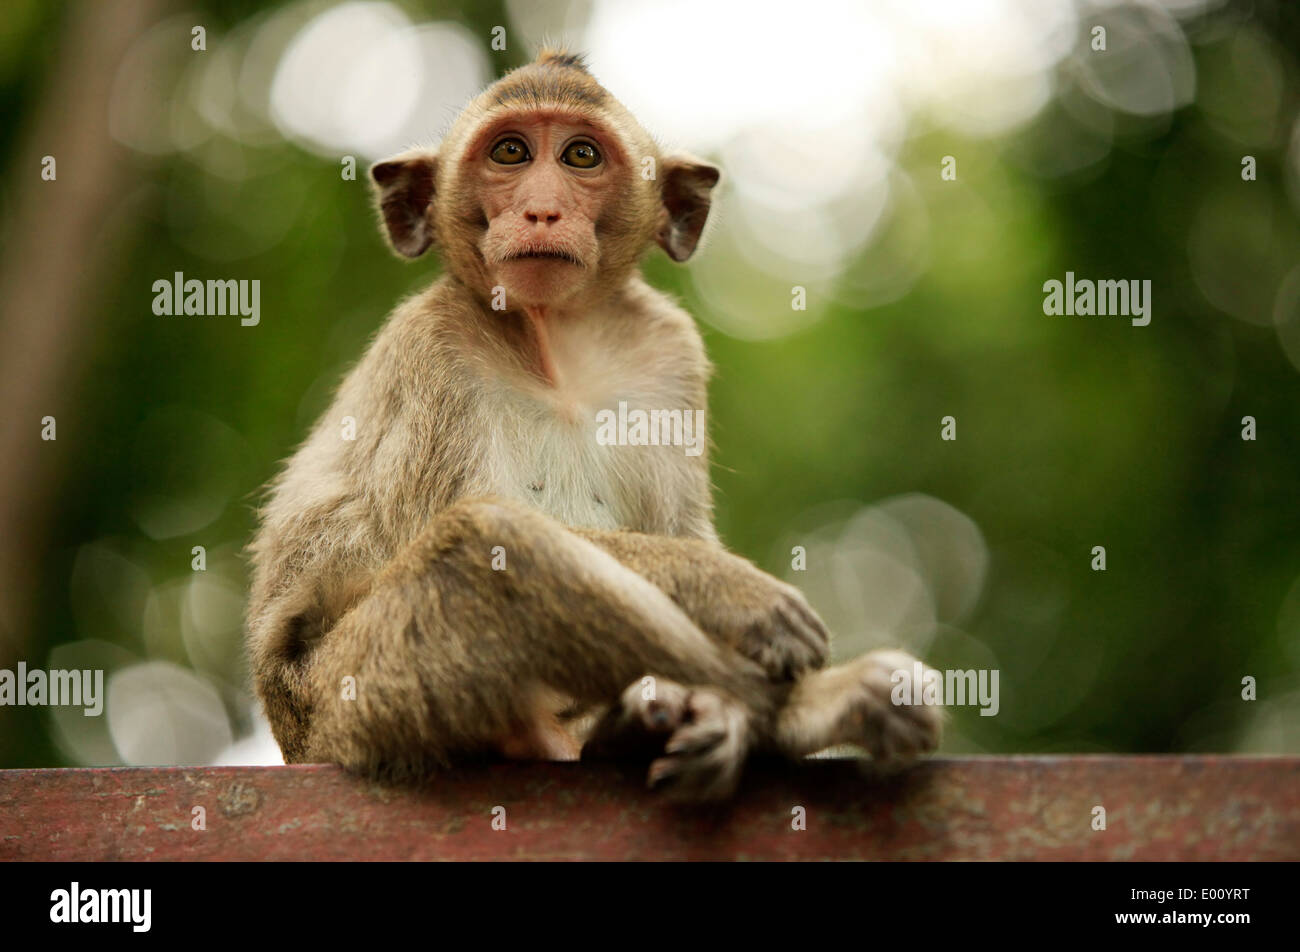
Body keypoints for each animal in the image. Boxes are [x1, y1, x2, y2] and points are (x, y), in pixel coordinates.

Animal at [245, 48, 942, 801]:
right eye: (511, 152)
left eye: (580, 155)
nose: (542, 209)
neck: (558, 345)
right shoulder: (432, 346)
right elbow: (444, 525)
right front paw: (726, 587)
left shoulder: (671, 351)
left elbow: (674, 522)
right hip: (361, 698)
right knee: (485, 547)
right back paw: (806, 709)